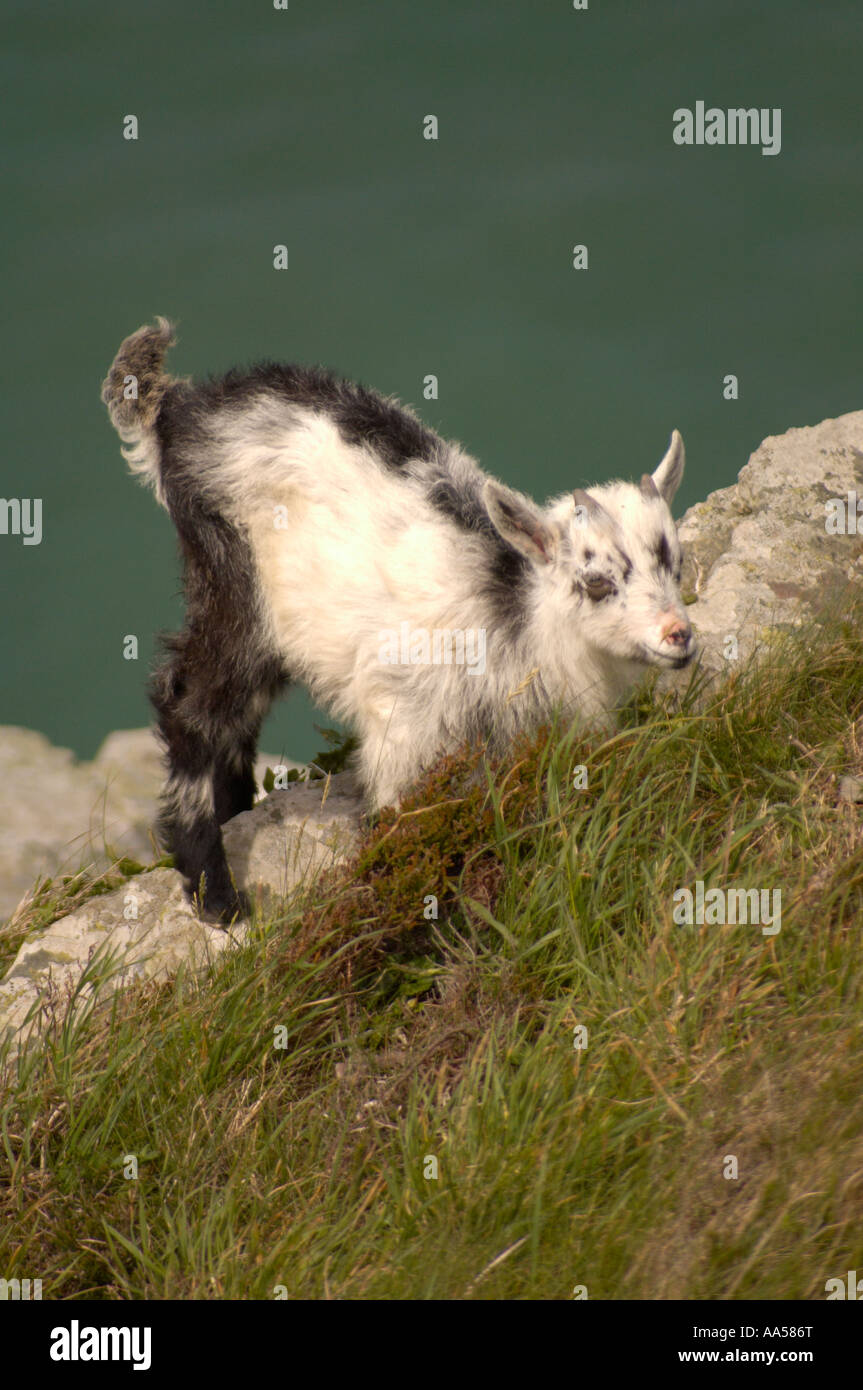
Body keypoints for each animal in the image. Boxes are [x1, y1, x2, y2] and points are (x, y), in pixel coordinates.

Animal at [102, 319, 695, 921]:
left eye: (676, 562)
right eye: (596, 582)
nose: (680, 635)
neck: (514, 616)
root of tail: (177, 409)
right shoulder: (404, 728)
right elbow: (396, 821)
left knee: (236, 716)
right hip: (234, 581)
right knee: (190, 706)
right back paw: (217, 894)